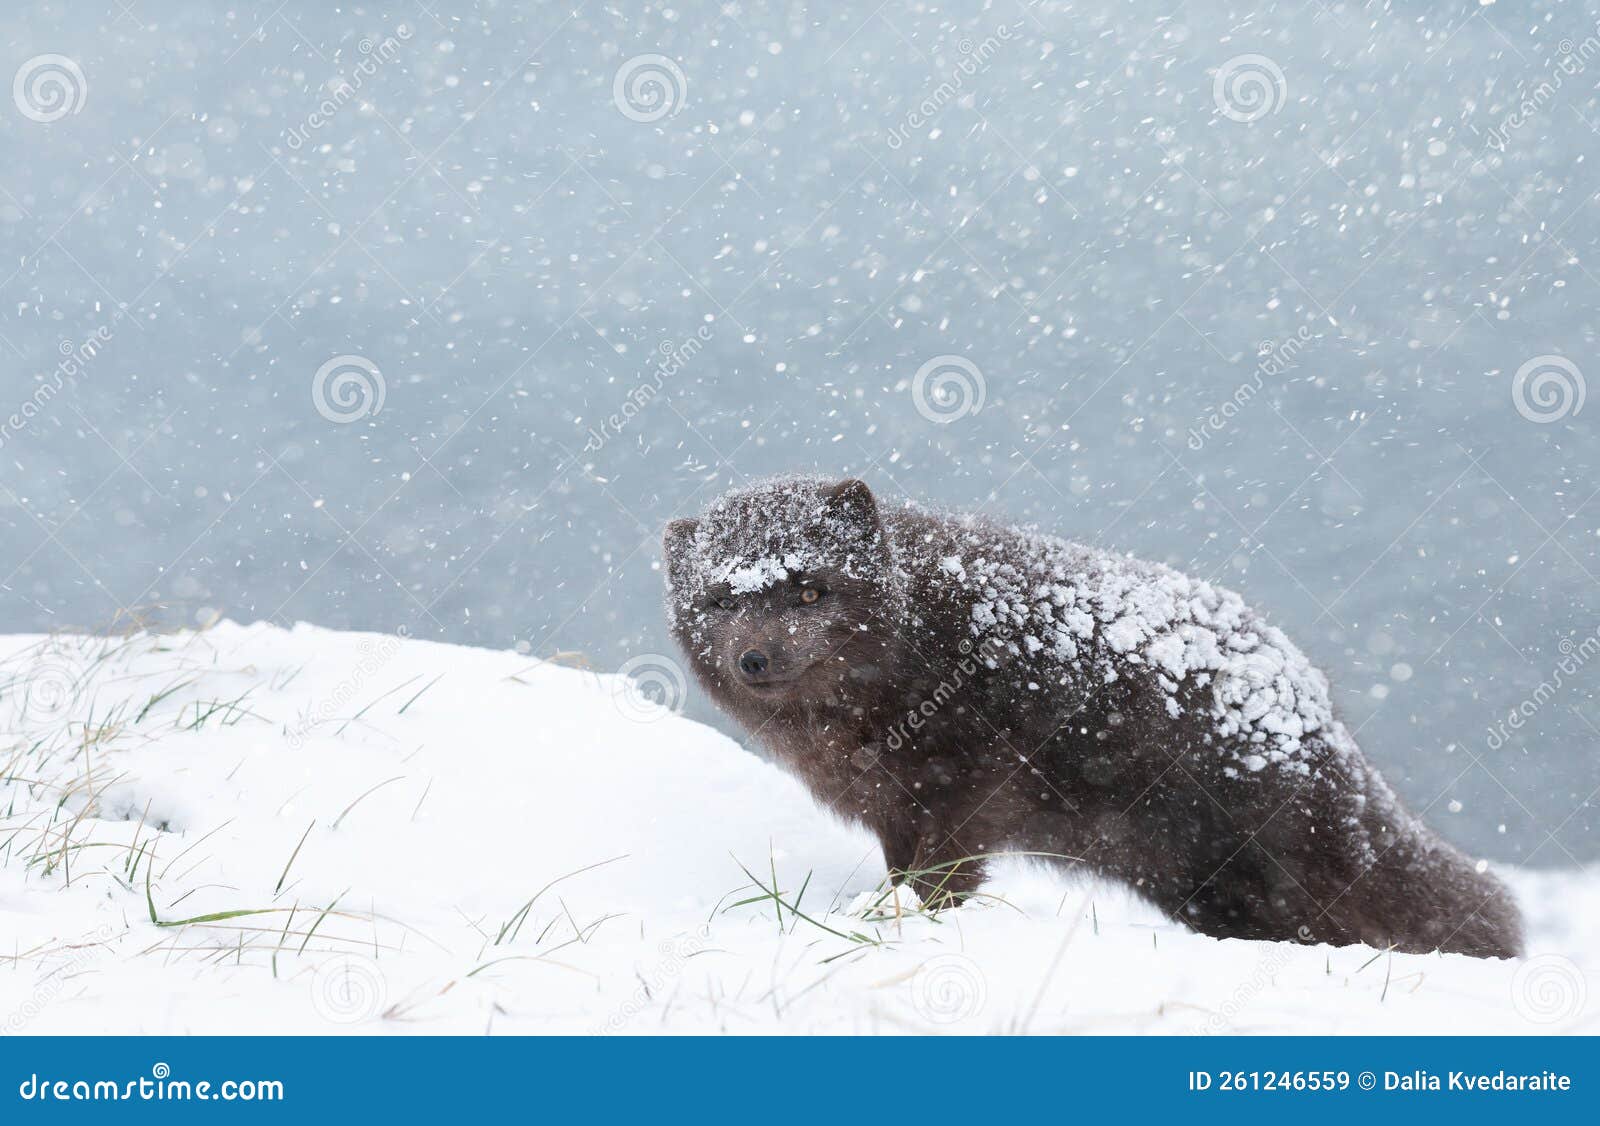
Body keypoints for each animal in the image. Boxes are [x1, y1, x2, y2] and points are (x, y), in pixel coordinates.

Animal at [662, 475, 1523, 958]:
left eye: (810, 590)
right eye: (721, 601)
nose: (756, 657)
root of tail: (1320, 718)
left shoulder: (959, 790)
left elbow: (943, 881)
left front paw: (911, 928)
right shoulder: (893, 808)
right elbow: (902, 876)